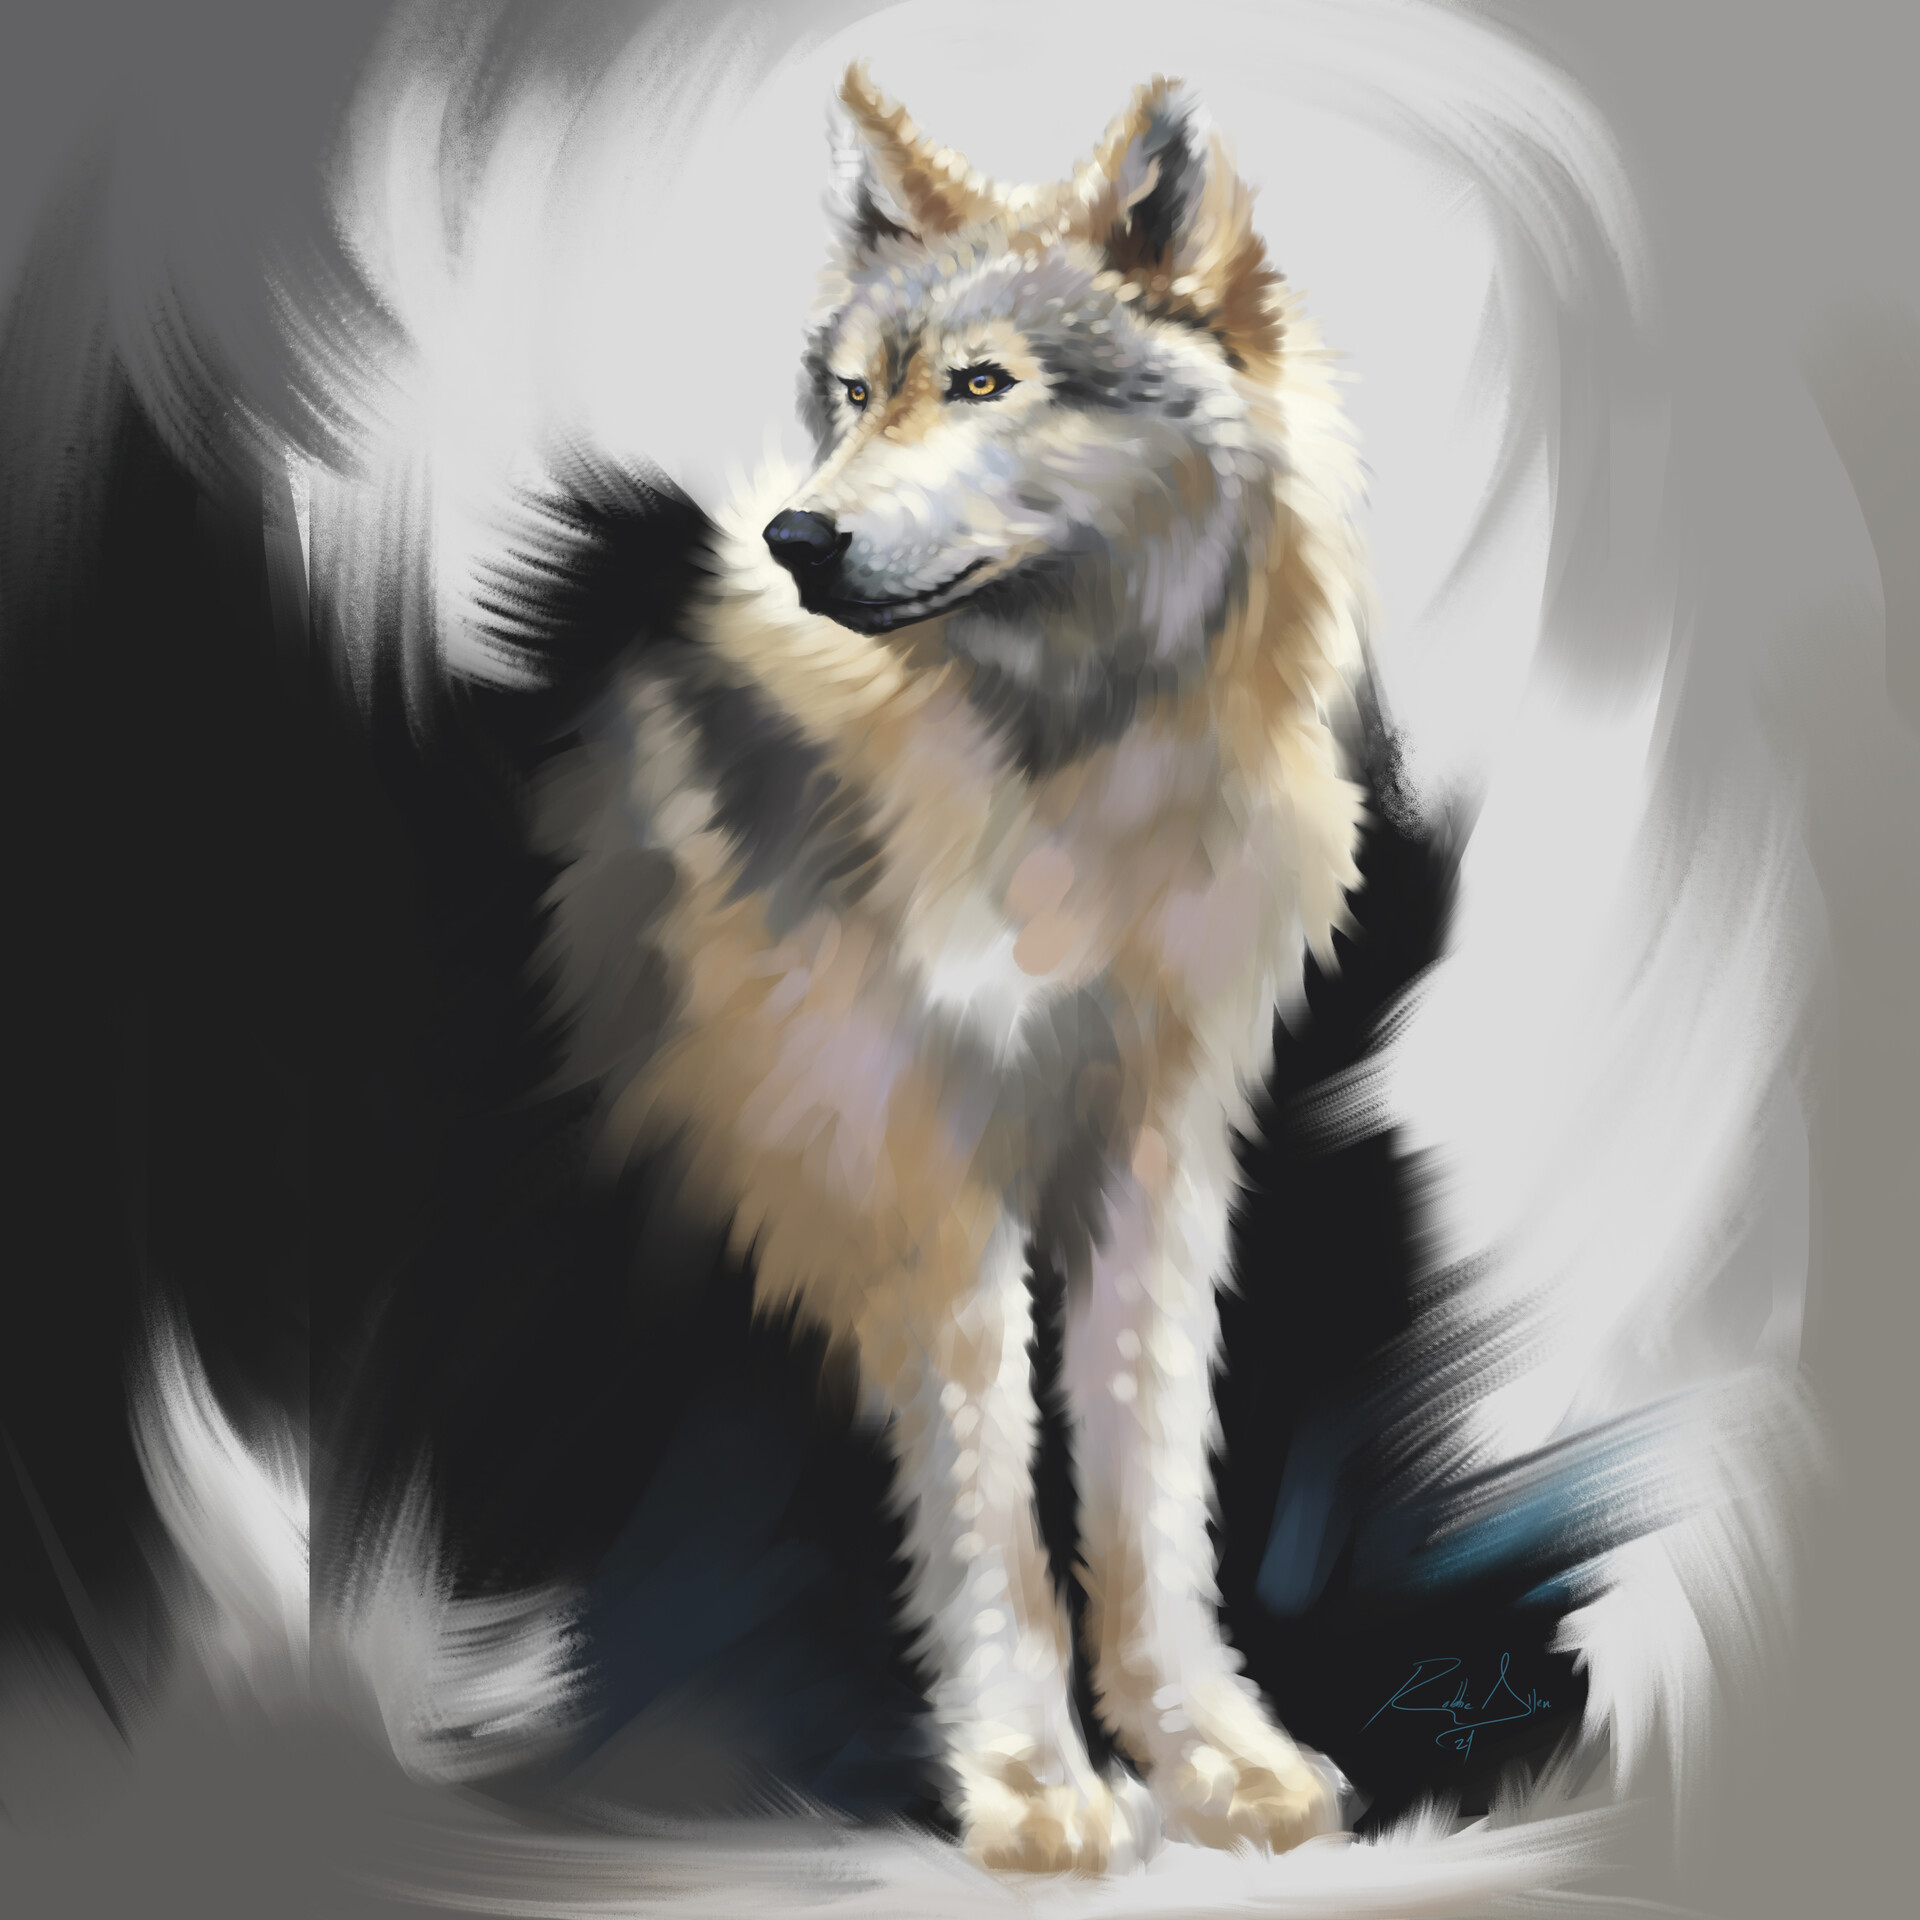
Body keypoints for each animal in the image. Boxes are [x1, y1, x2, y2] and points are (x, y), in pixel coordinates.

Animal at [530, 64, 1367, 1873]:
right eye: (856, 395)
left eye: (985, 385)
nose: (799, 536)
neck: (1071, 773)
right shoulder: (910, 1181)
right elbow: (990, 1509)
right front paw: (1036, 1787)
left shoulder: (1159, 1152)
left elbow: (1144, 1476)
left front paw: (1209, 1757)